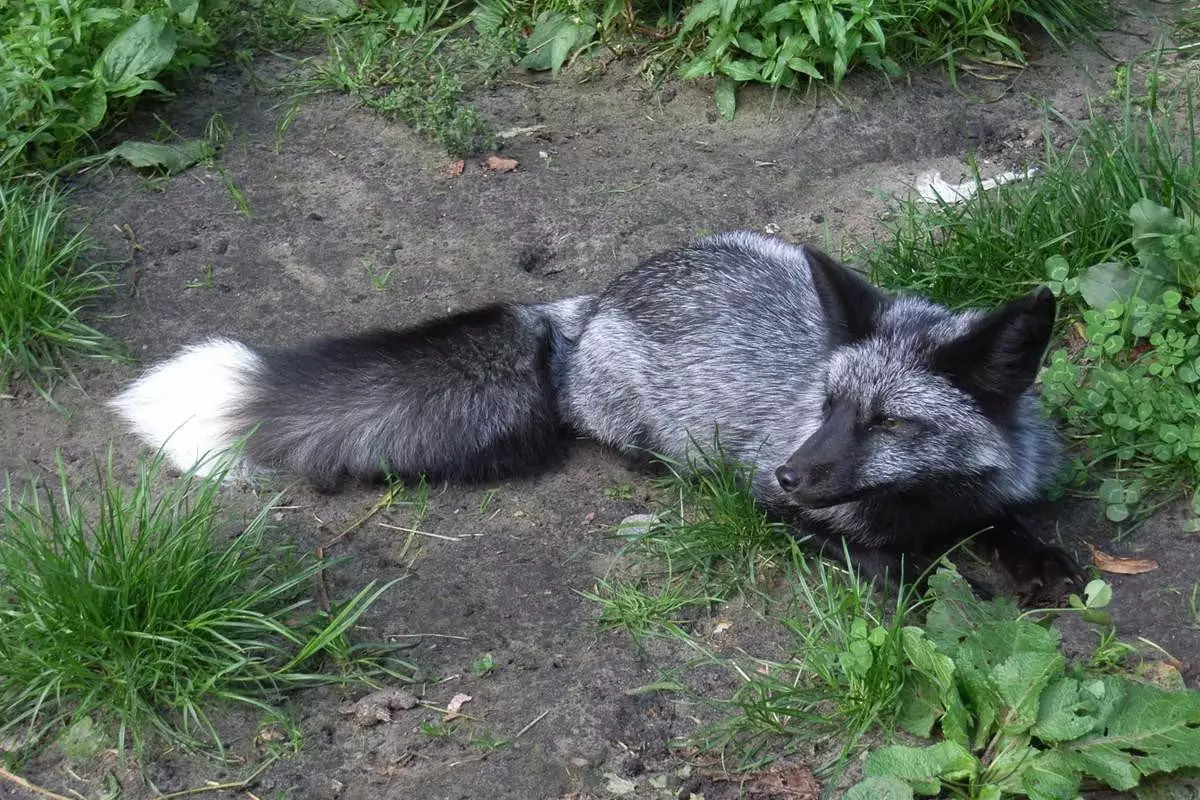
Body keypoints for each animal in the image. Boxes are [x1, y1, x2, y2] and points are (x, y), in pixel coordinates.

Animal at [112, 231, 1084, 599]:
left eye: (889, 423)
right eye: (830, 406)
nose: (790, 470)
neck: (922, 502)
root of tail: (587, 305)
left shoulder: (987, 487)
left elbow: (1007, 518)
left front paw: (1038, 560)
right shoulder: (780, 507)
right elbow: (870, 553)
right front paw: (917, 584)